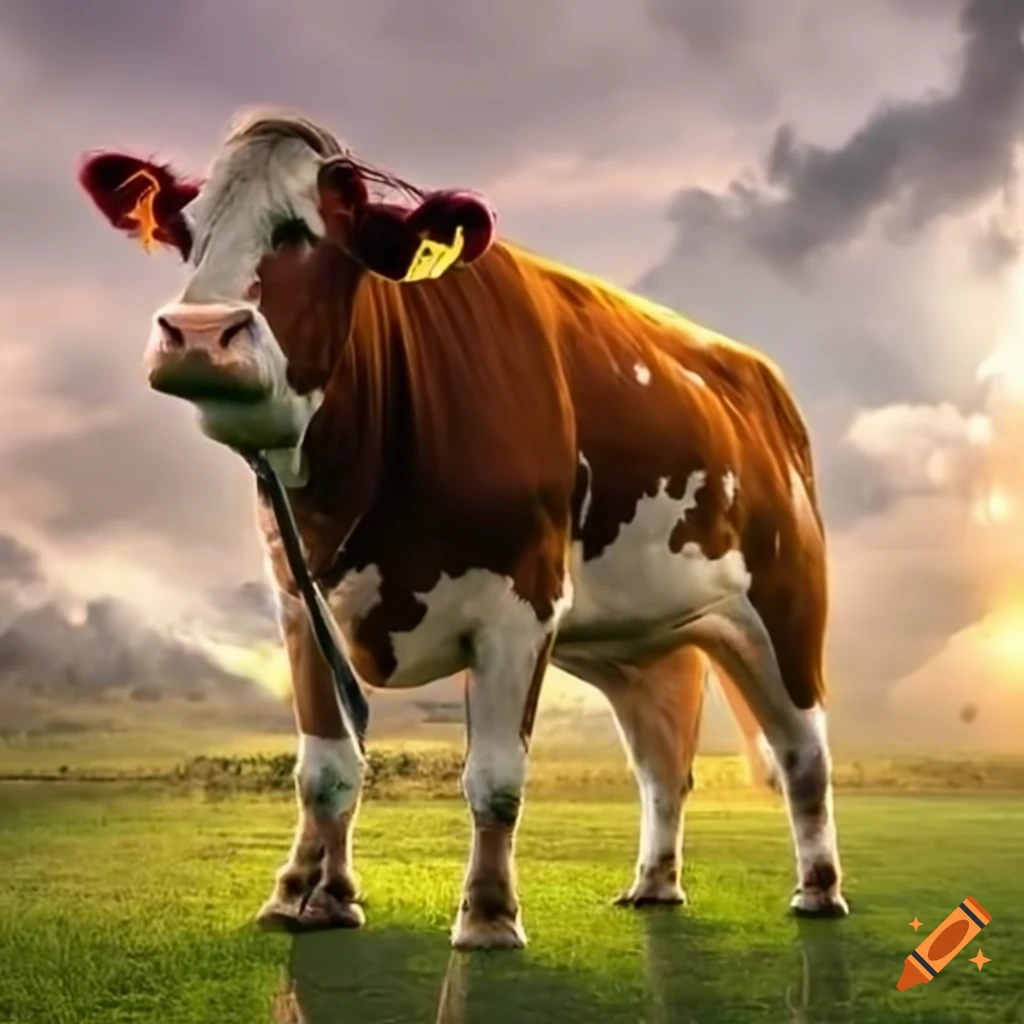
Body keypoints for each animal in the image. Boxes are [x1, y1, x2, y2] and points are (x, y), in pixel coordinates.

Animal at [78, 108, 848, 950]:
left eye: (312, 231)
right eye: (186, 232)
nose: (198, 334)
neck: (355, 494)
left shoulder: (520, 607)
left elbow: (495, 778)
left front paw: (487, 915)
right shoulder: (299, 605)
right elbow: (325, 770)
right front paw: (315, 898)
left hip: (785, 605)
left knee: (802, 754)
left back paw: (818, 892)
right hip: (639, 646)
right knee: (661, 760)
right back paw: (654, 886)